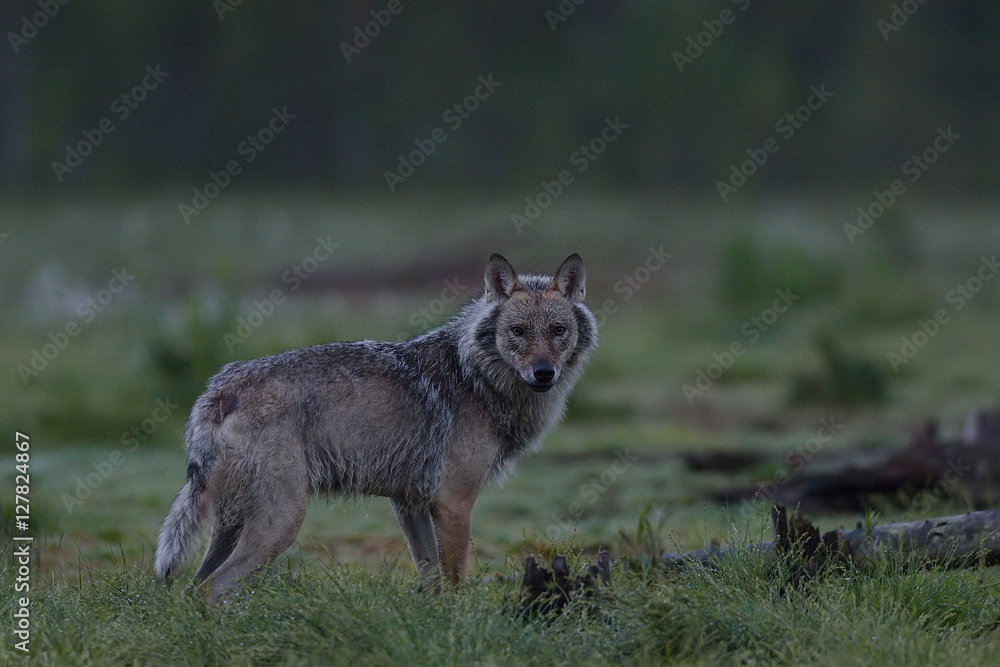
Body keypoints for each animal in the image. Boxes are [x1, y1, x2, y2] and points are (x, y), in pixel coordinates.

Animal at [154, 253, 598, 601]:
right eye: (518, 332)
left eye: (558, 331)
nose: (544, 373)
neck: (478, 377)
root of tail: (221, 388)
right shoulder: (454, 503)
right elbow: (455, 583)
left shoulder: (409, 504)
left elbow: (432, 580)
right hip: (282, 521)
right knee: (212, 590)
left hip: (230, 526)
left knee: (192, 588)